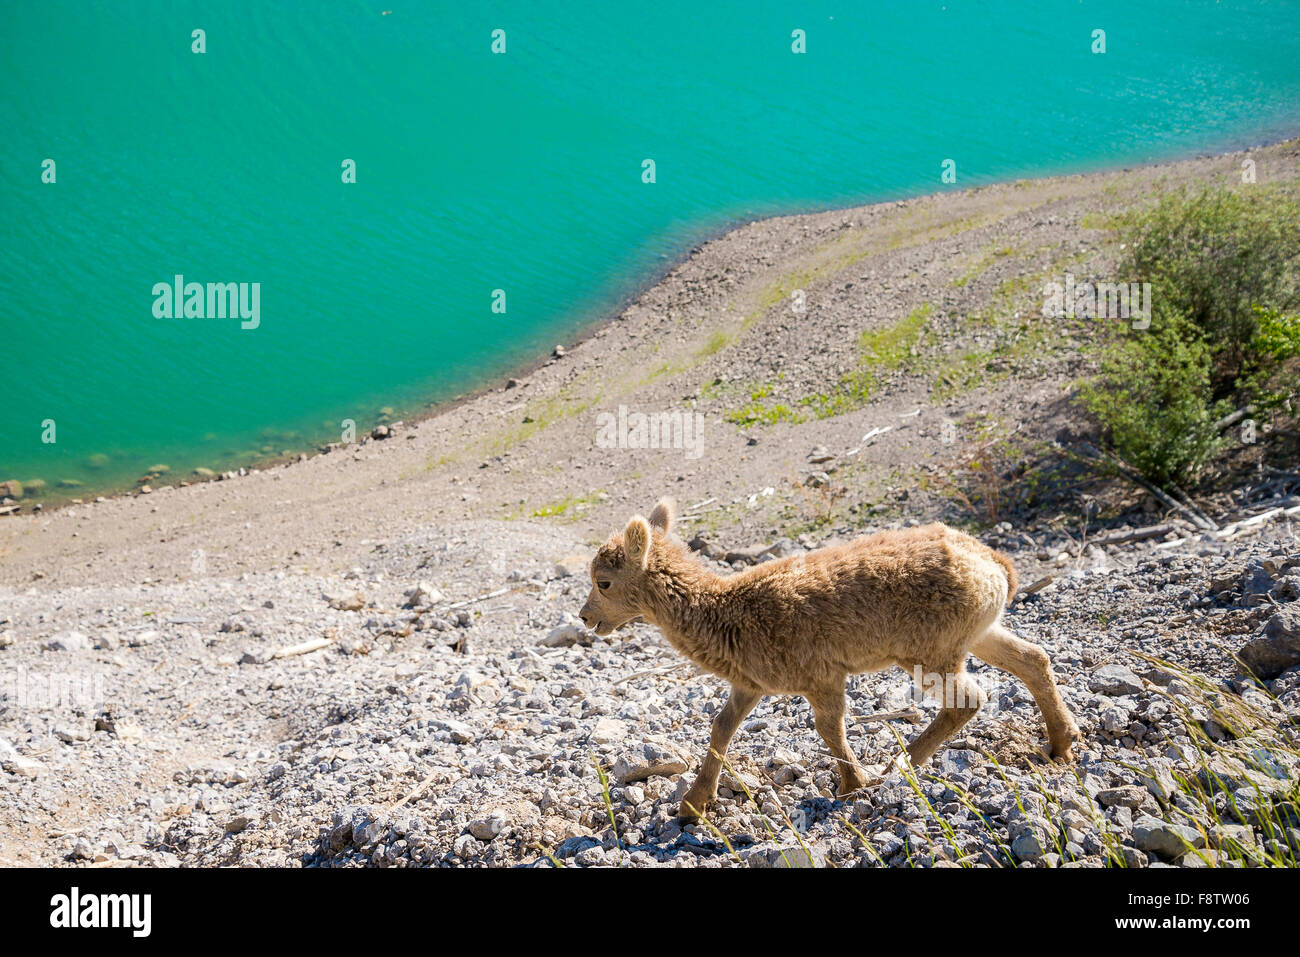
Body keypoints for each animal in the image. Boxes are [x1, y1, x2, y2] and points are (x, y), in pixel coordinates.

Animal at [579, 497, 1080, 821]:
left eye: (604, 582)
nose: (586, 619)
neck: (728, 612)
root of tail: (995, 566)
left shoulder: (821, 678)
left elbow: (829, 729)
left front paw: (852, 785)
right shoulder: (751, 684)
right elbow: (721, 727)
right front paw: (691, 807)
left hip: (931, 653)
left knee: (969, 699)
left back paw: (898, 766)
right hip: (977, 635)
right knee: (1034, 660)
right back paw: (1061, 743)